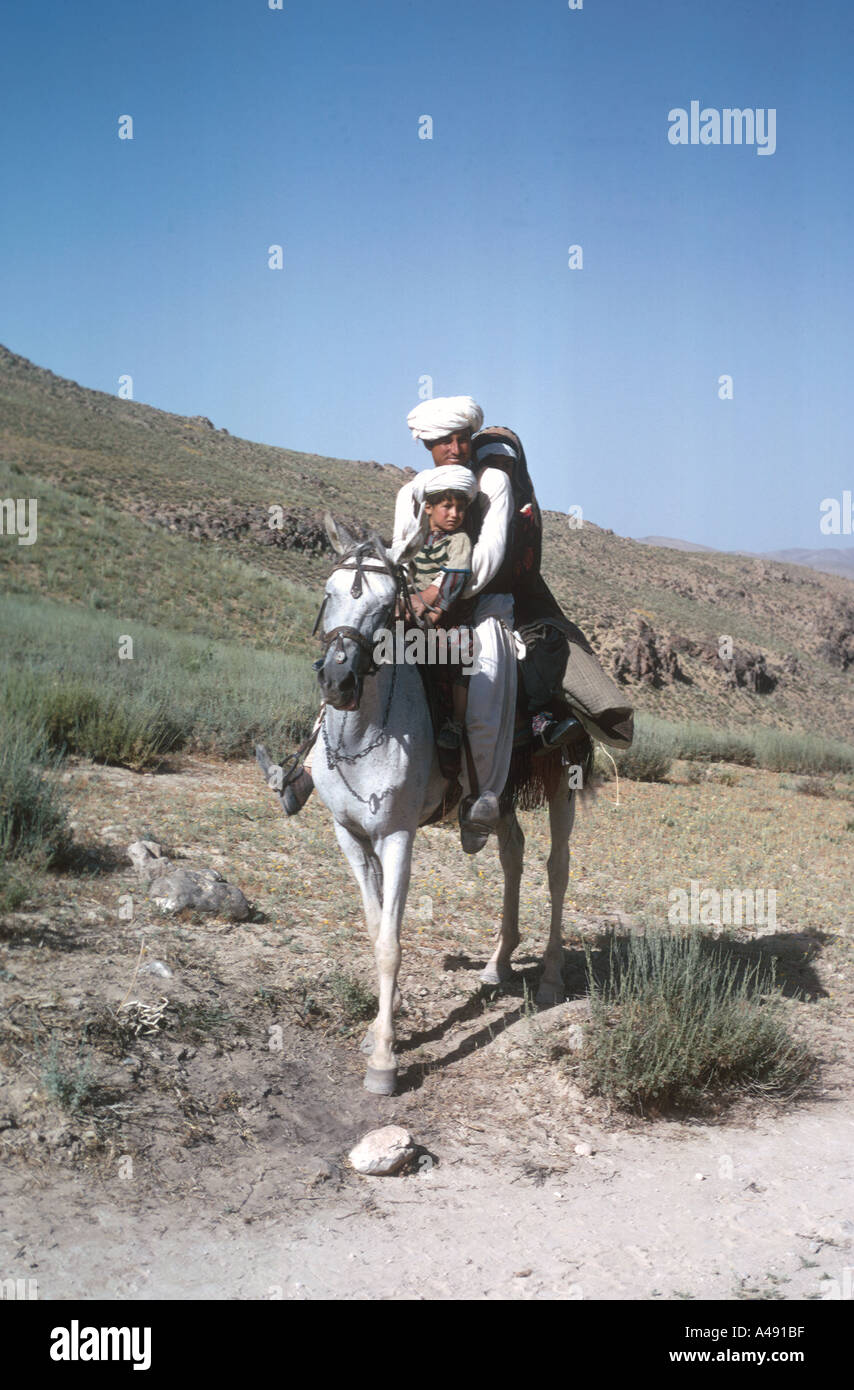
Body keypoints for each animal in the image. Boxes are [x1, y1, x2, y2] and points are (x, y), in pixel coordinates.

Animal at [274, 517, 588, 1095]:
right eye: (328, 594)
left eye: (386, 608)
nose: (338, 682)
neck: (364, 734)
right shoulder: (350, 835)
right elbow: (376, 927)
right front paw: (385, 1023)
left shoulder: (398, 835)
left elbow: (390, 943)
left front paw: (384, 1060)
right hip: (498, 794)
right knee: (513, 853)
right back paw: (498, 963)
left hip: (563, 786)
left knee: (557, 868)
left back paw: (552, 978)